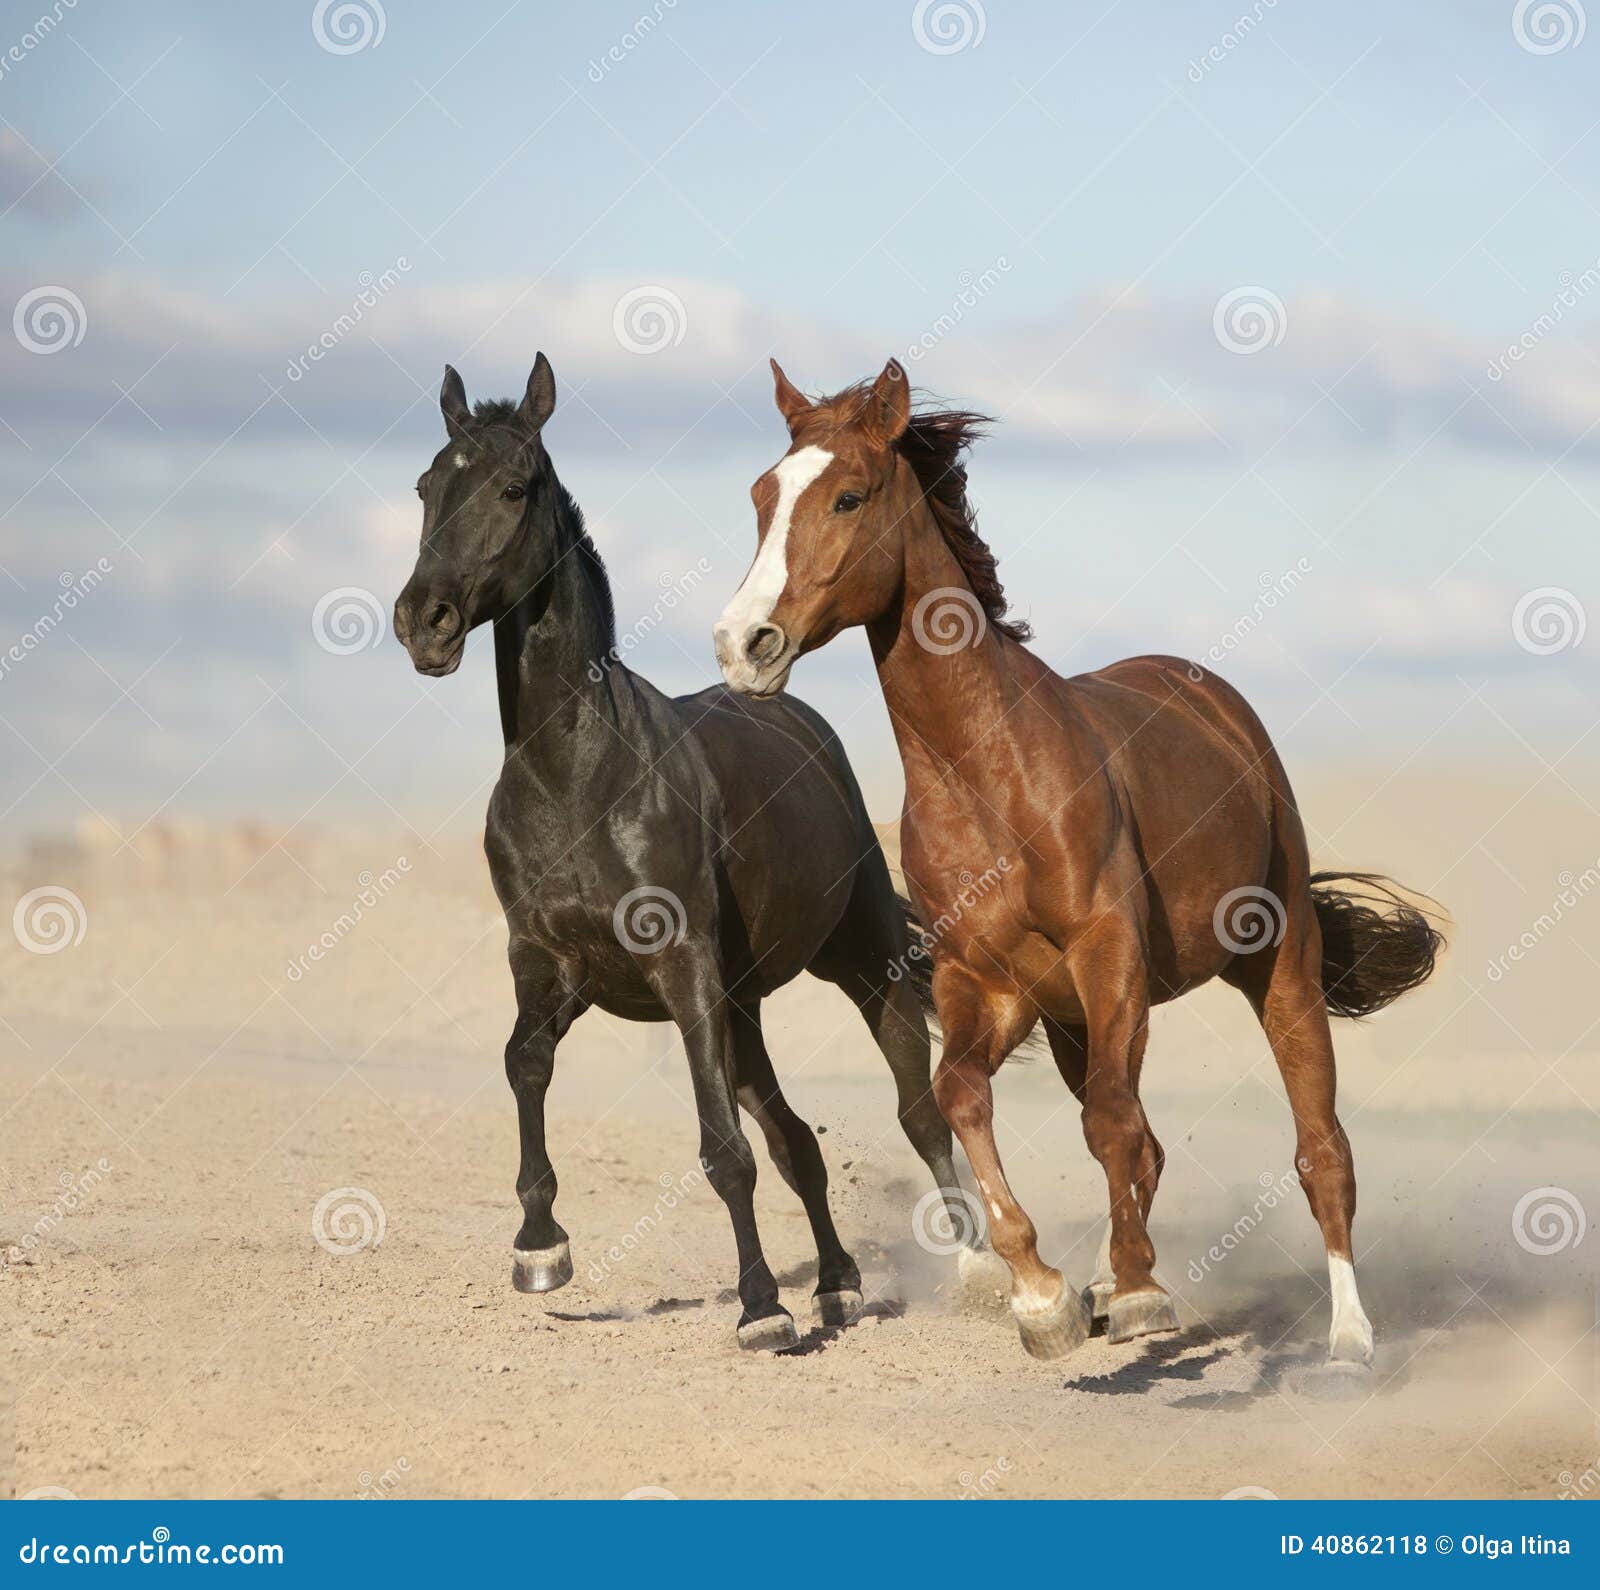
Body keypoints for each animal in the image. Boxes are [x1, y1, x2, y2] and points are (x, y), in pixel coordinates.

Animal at [392, 353, 986, 1352]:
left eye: (513, 486)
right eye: (428, 485)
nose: (421, 622)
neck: (578, 778)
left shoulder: (681, 969)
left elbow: (724, 1152)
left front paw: (760, 1310)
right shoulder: (550, 964)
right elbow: (524, 1064)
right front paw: (540, 1249)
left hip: (858, 962)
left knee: (917, 1112)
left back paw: (981, 1264)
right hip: (742, 1010)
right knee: (796, 1139)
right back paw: (837, 1286)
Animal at [713, 356, 1444, 1377]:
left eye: (849, 496)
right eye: (759, 496)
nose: (742, 645)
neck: (990, 774)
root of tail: (1218, 704)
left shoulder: (1109, 955)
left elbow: (1110, 1122)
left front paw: (1133, 1293)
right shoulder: (989, 985)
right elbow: (966, 1097)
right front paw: (1044, 1298)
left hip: (1278, 967)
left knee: (1316, 1149)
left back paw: (1346, 1338)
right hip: (1072, 1021)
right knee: (1141, 1141)